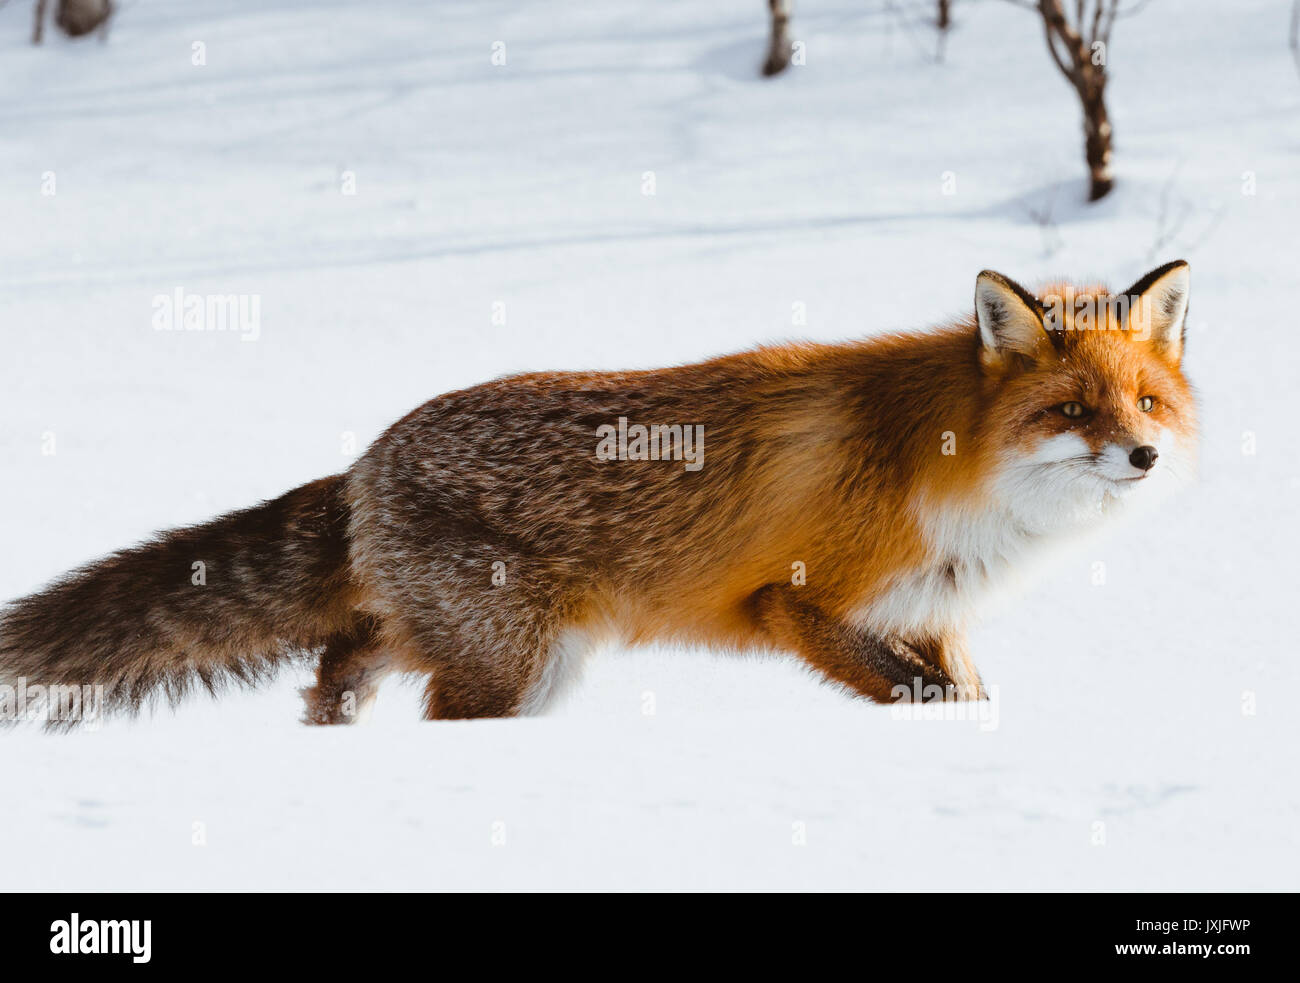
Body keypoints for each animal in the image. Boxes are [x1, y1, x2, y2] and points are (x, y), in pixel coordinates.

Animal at [0, 260, 1196, 726]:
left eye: (1145, 402)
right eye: (1073, 410)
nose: (1142, 456)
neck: (957, 478)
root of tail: (366, 458)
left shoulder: (934, 611)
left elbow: (965, 697)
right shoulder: (793, 602)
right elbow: (915, 697)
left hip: (445, 639)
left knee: (338, 662)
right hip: (517, 665)